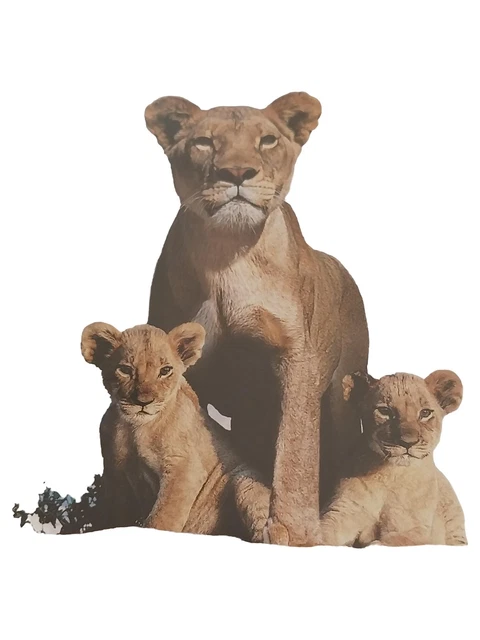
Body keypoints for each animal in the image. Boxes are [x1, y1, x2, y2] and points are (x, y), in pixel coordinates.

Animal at [81, 321, 270, 541]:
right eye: (125, 370)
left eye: (165, 370)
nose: (143, 402)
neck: (135, 429)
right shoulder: (116, 475)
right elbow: (114, 515)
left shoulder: (184, 468)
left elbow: (162, 518)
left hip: (245, 480)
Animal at [142, 92, 369, 545]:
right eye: (204, 142)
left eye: (267, 140)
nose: (236, 172)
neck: (228, 255)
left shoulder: (296, 360)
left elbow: (296, 450)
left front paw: (293, 532)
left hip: (341, 399)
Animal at [315, 370, 467, 546]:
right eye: (385, 411)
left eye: (425, 413)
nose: (407, 442)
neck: (391, 474)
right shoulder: (342, 511)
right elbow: (324, 534)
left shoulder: (413, 530)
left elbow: (389, 542)